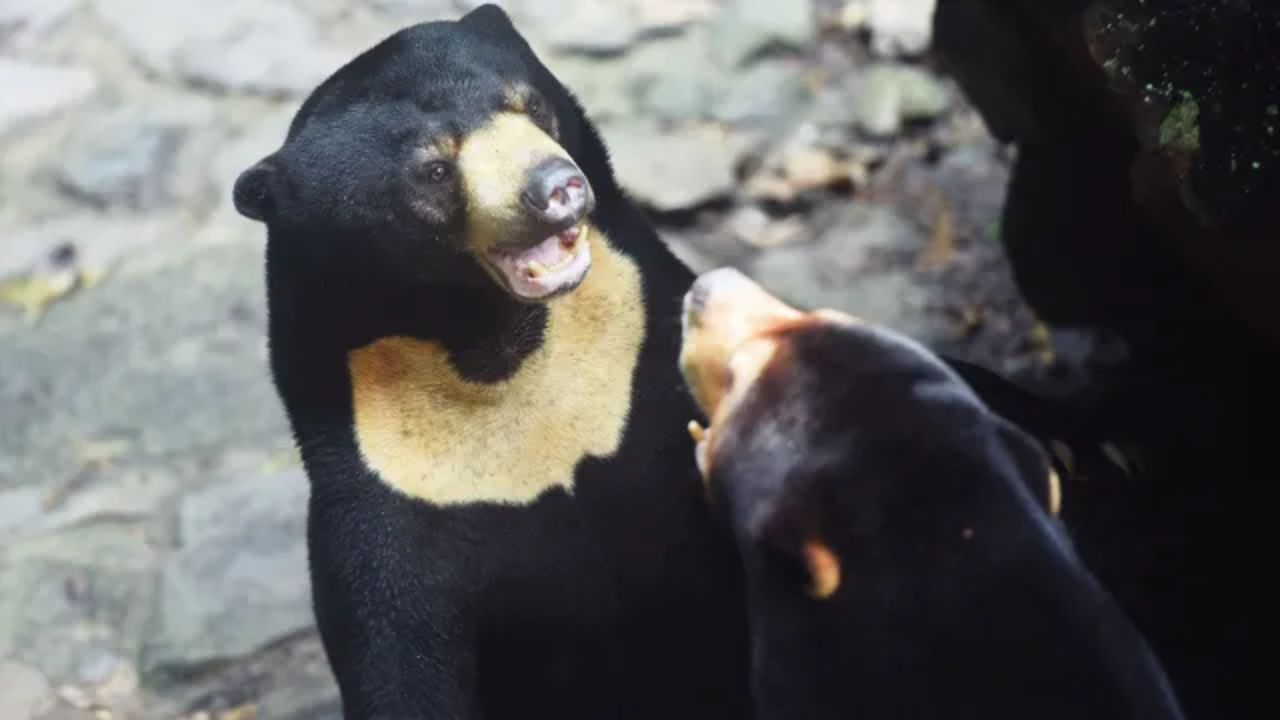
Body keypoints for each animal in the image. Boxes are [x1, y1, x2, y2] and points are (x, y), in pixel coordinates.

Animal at [231, 6, 751, 719]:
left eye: (529, 105)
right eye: (433, 171)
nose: (557, 187)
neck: (507, 352)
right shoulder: (386, 496)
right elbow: (398, 661)